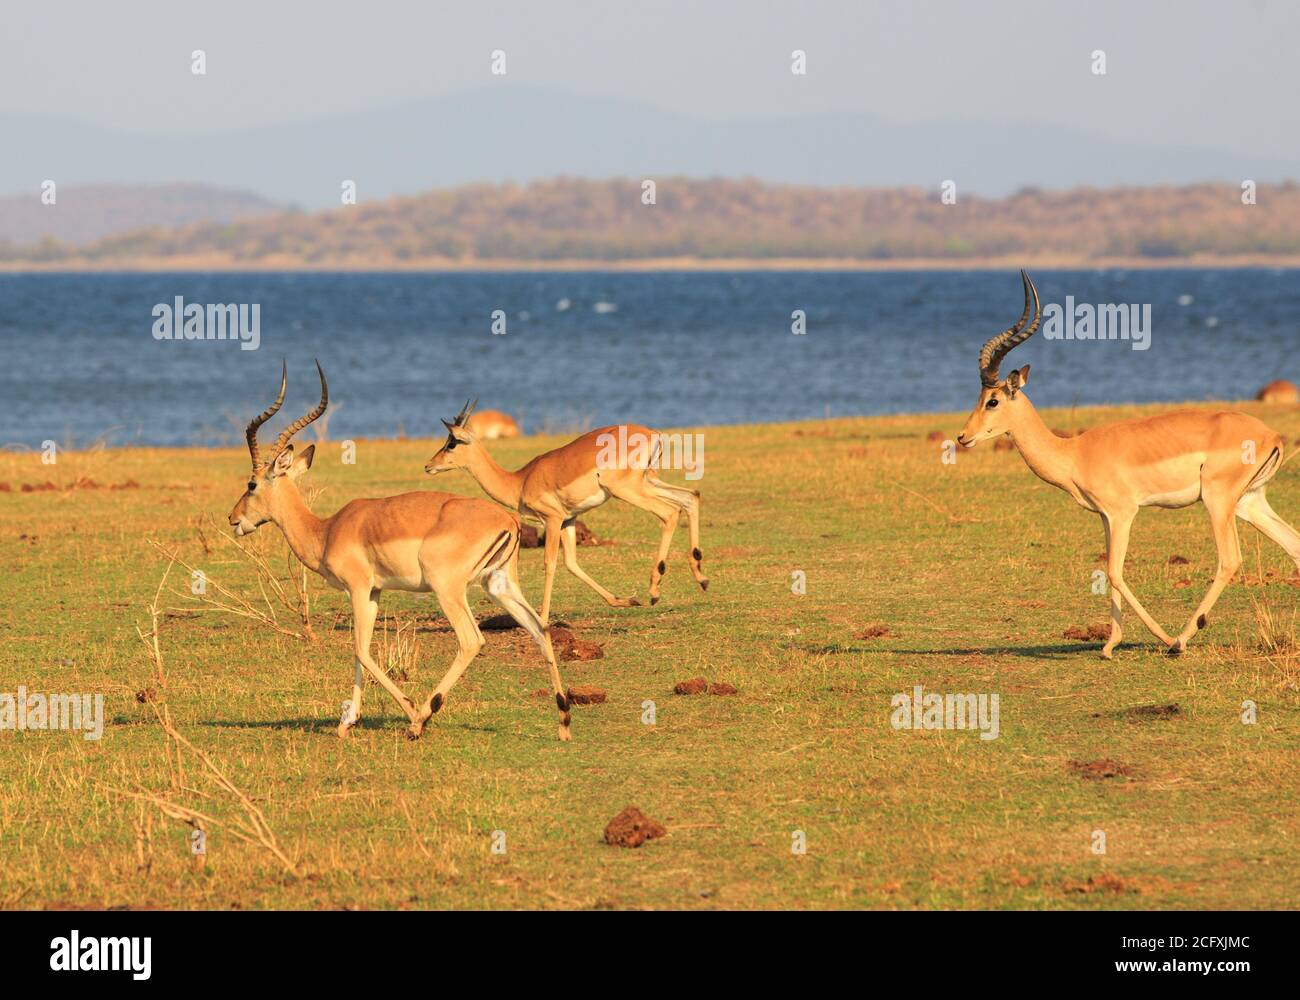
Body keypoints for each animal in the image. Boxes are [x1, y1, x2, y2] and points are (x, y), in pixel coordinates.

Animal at [228, 363, 573, 741]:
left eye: (251, 484)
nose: (234, 519)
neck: (328, 530)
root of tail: (507, 520)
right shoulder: (374, 592)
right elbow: (360, 652)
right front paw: (347, 721)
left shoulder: (358, 588)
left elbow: (360, 649)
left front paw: (406, 715)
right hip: (498, 584)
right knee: (540, 628)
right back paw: (563, 722)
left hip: (448, 589)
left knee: (472, 640)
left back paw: (421, 717)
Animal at [425, 401, 708, 626]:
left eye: (452, 443)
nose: (428, 466)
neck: (520, 481)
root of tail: (652, 433)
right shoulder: (569, 520)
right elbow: (572, 563)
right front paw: (624, 600)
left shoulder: (552, 520)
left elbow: (549, 564)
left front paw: (543, 618)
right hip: (648, 481)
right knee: (691, 497)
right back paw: (701, 579)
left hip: (629, 489)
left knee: (670, 512)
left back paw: (655, 590)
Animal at [957, 271, 1300, 658]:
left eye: (993, 400)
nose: (963, 437)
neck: (1074, 452)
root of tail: (1269, 434)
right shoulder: (1106, 518)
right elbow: (1109, 569)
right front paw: (1109, 645)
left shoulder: (1124, 513)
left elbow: (1115, 572)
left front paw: (1161, 639)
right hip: (1249, 502)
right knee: (1294, 546)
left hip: (1218, 501)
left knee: (1229, 559)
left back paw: (1180, 639)